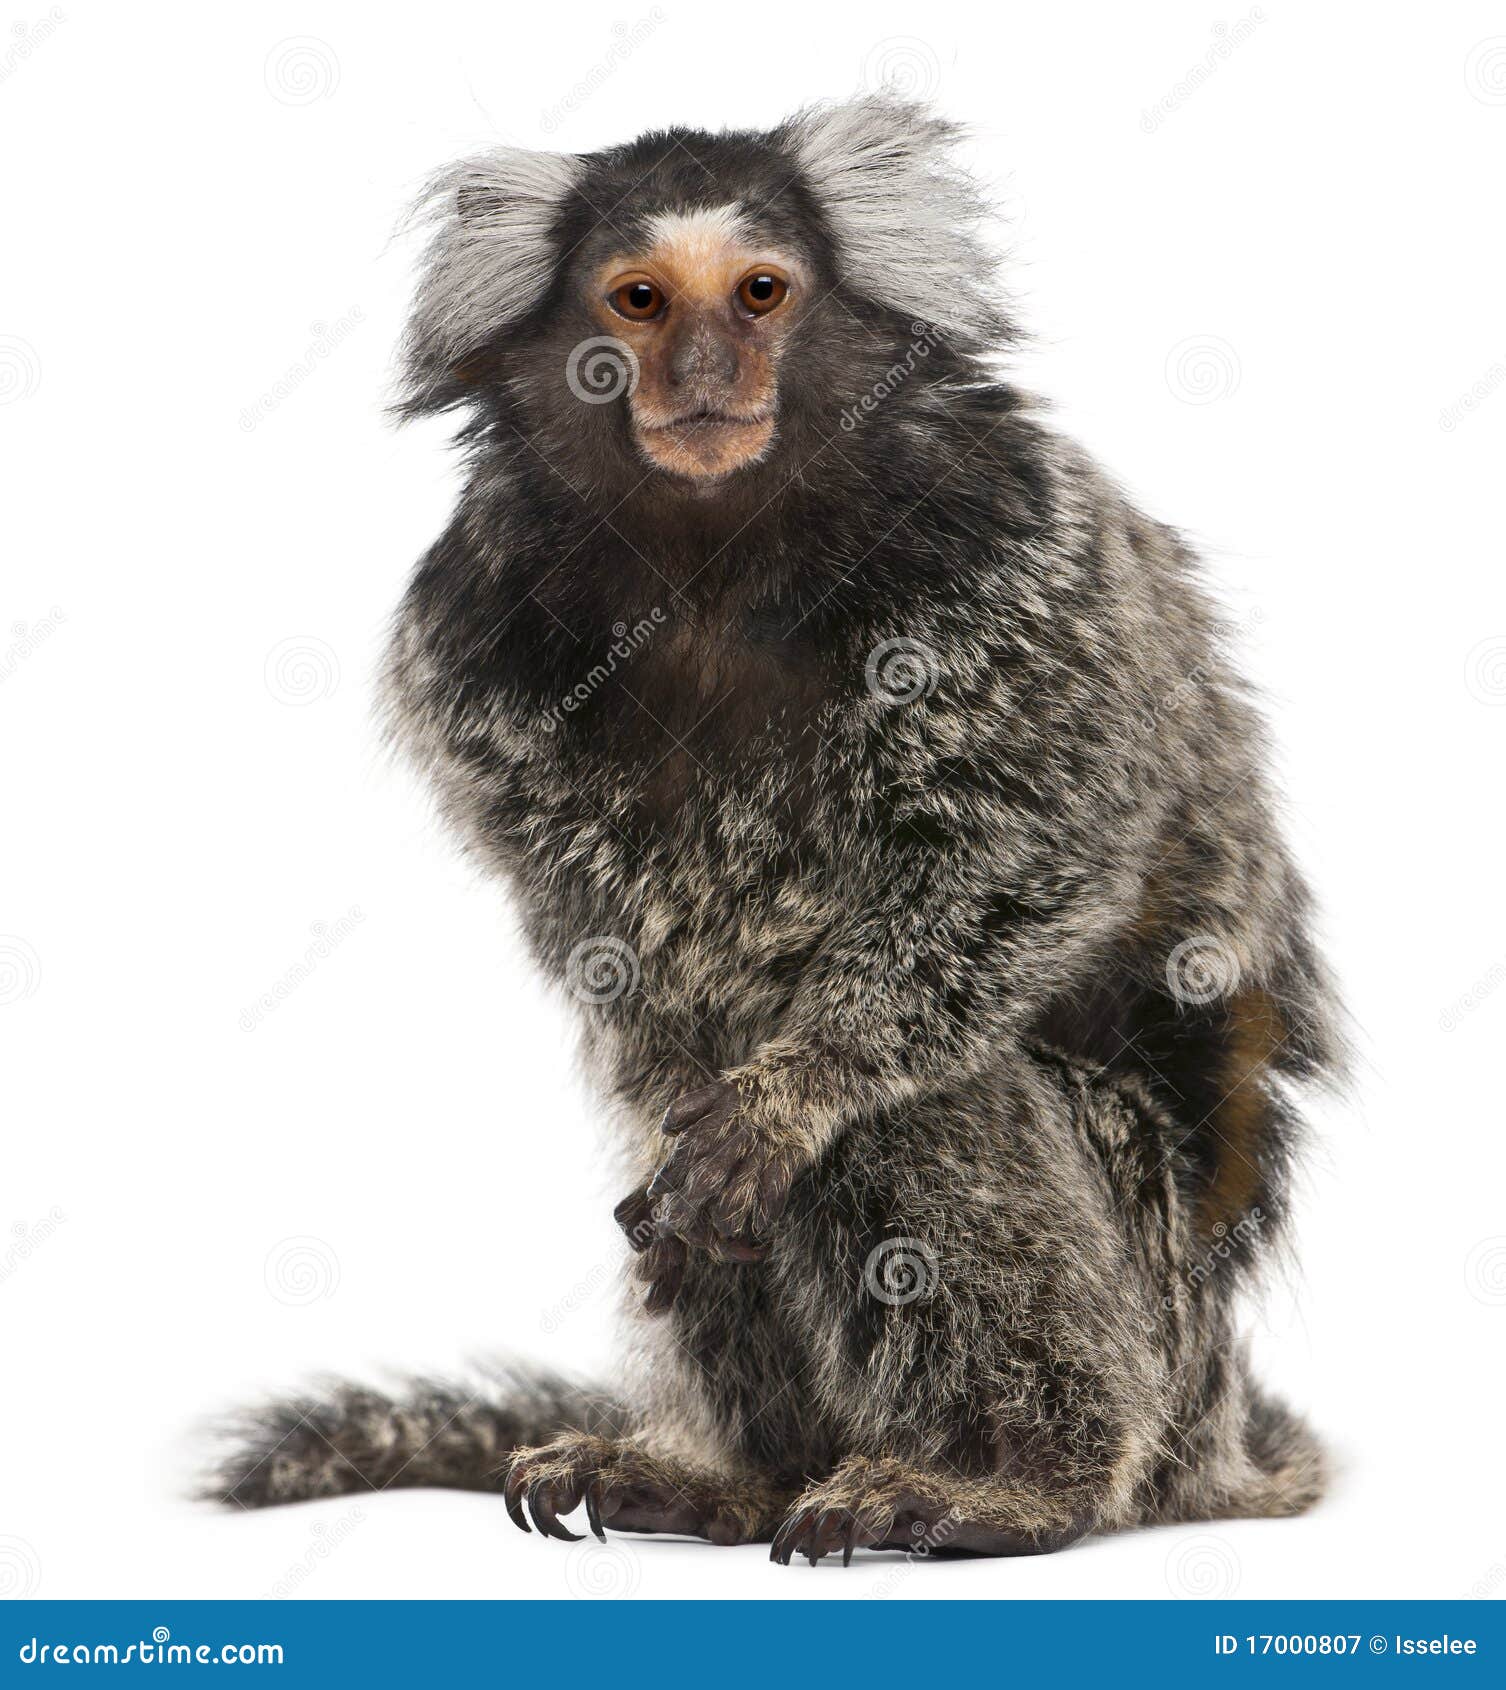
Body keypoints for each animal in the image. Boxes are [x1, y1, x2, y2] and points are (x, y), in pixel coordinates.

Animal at [211, 95, 1343, 1565]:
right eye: (635, 301)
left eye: (762, 292)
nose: (701, 371)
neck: (716, 554)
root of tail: (1223, 1436)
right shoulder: (466, 633)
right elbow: (622, 979)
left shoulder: (1023, 551)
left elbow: (1038, 855)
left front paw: (783, 1102)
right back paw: (719, 1474)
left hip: (1156, 1287)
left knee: (931, 1115)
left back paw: (1006, 1481)